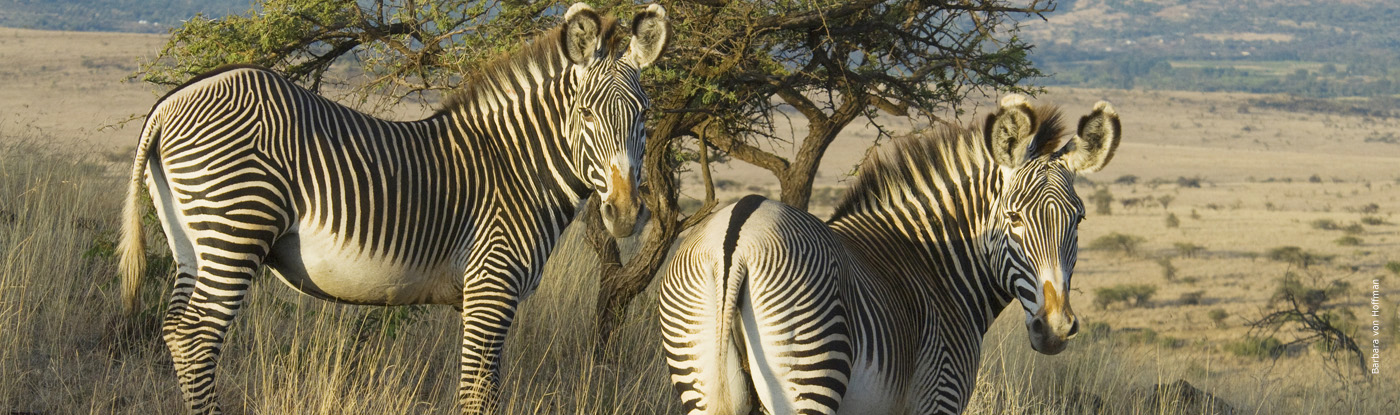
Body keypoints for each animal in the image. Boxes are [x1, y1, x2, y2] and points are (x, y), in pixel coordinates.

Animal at [116, 4, 669, 413]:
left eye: (644, 115)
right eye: (587, 113)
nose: (625, 213)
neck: (515, 164)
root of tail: (173, 100)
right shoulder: (491, 286)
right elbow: (478, 394)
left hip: (192, 237)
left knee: (175, 330)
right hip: (235, 226)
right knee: (196, 335)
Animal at [660, 94, 1122, 415]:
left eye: (1078, 219)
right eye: (1014, 218)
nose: (1056, 329)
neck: (937, 267)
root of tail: (737, 234)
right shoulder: (938, 392)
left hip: (700, 371)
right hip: (807, 373)